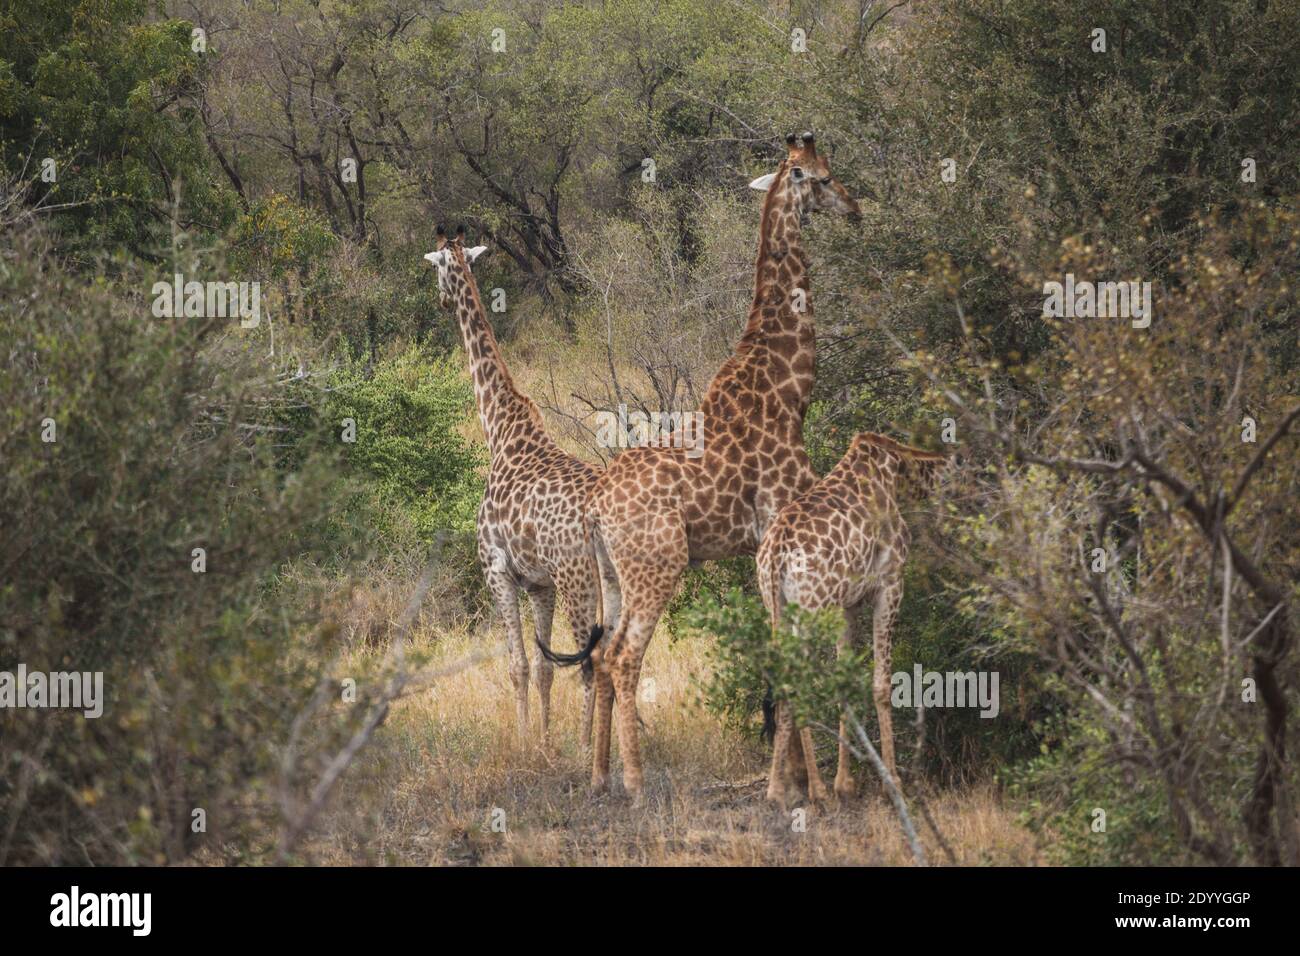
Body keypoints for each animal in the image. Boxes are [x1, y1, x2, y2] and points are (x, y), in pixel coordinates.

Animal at [424, 225, 608, 749]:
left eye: (436, 269)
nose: (440, 300)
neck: (499, 430)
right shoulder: (539, 584)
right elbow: (544, 669)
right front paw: (544, 740)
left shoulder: (497, 571)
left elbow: (519, 667)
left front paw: (527, 742)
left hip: (578, 581)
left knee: (591, 665)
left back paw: (588, 749)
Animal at [541, 132, 861, 800]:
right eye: (820, 177)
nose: (855, 208)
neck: (790, 392)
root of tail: (595, 506)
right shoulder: (779, 524)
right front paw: (807, 785)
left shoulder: (762, 547)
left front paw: (793, 776)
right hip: (658, 566)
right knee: (624, 657)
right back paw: (635, 781)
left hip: (612, 573)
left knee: (601, 656)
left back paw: (600, 775)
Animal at [756, 431, 947, 806]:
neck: (897, 469)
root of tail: (775, 555)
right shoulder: (890, 585)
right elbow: (882, 684)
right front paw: (893, 783)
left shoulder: (847, 604)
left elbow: (844, 681)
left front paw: (845, 783)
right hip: (811, 610)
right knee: (799, 684)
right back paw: (811, 791)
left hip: (779, 609)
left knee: (785, 684)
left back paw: (782, 789)